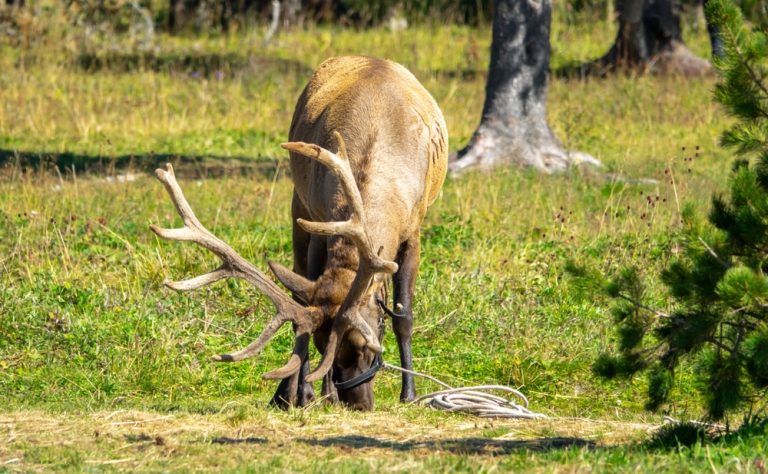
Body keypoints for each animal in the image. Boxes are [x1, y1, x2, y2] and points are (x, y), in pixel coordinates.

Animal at [151, 56, 448, 410]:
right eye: (323, 346)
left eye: (367, 343)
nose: (357, 403)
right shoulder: (319, 218)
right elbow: (307, 299)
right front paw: (312, 392)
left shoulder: (414, 227)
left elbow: (404, 316)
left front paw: (410, 394)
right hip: (297, 206)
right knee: (298, 288)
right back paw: (290, 394)